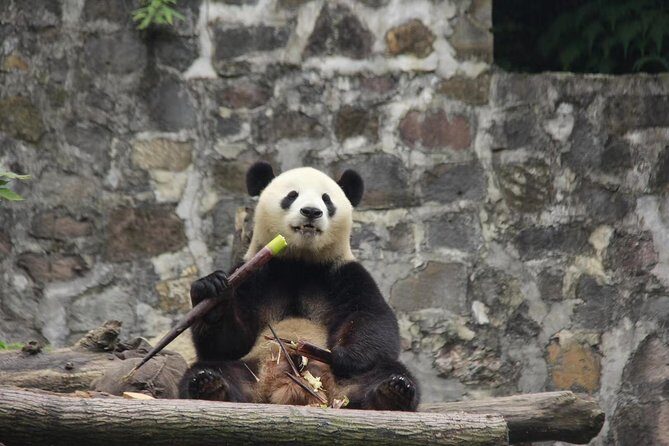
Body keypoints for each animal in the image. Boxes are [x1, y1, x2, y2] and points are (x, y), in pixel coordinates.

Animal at [179, 161, 419, 411]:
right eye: (292, 195)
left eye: (326, 199)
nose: (311, 211)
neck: (300, 262)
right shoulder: (253, 276)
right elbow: (227, 345)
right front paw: (211, 291)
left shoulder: (344, 274)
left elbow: (373, 321)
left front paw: (343, 355)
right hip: (252, 366)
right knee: (216, 369)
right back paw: (209, 385)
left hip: (347, 382)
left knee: (385, 372)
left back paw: (392, 392)